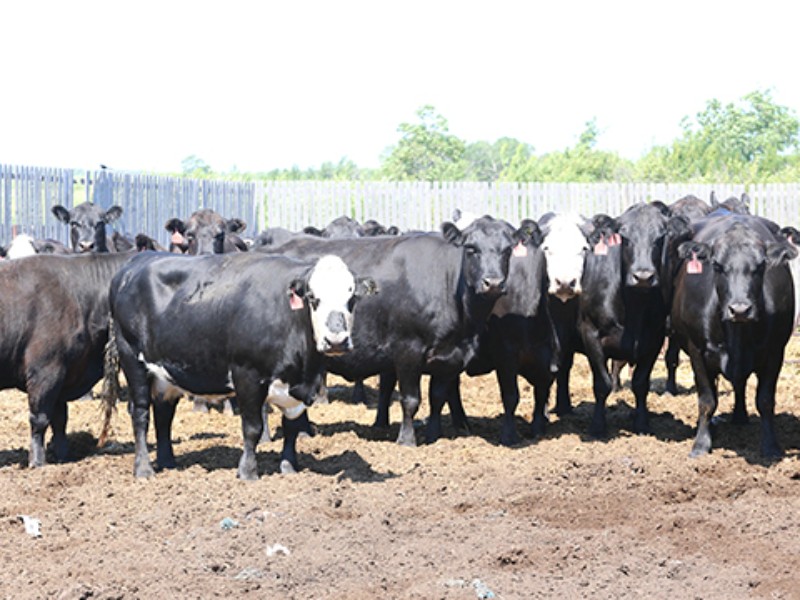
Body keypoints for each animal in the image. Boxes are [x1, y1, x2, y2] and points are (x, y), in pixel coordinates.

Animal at [0, 252, 133, 466]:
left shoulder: (64, 375)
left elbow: (60, 419)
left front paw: (63, 455)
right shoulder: (45, 372)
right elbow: (40, 418)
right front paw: (37, 461)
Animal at [108, 252, 376, 479]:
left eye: (352, 298)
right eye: (313, 298)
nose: (336, 340)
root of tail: (134, 263)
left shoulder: (298, 388)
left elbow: (291, 427)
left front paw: (289, 467)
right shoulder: (247, 374)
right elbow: (253, 428)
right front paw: (248, 472)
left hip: (165, 373)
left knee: (164, 414)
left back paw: (167, 462)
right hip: (131, 358)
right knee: (141, 413)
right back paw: (144, 469)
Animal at [266, 216, 527, 446]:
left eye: (507, 250)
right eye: (471, 249)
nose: (493, 283)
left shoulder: (448, 357)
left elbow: (438, 397)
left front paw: (433, 436)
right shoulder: (407, 350)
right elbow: (411, 400)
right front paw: (407, 440)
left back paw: (304, 432)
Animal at [670, 214, 796, 457]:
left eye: (760, 266)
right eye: (717, 266)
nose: (739, 309)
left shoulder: (775, 351)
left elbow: (765, 400)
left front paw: (771, 446)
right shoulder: (696, 351)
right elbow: (707, 400)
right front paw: (701, 444)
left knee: (740, 383)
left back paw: (740, 416)